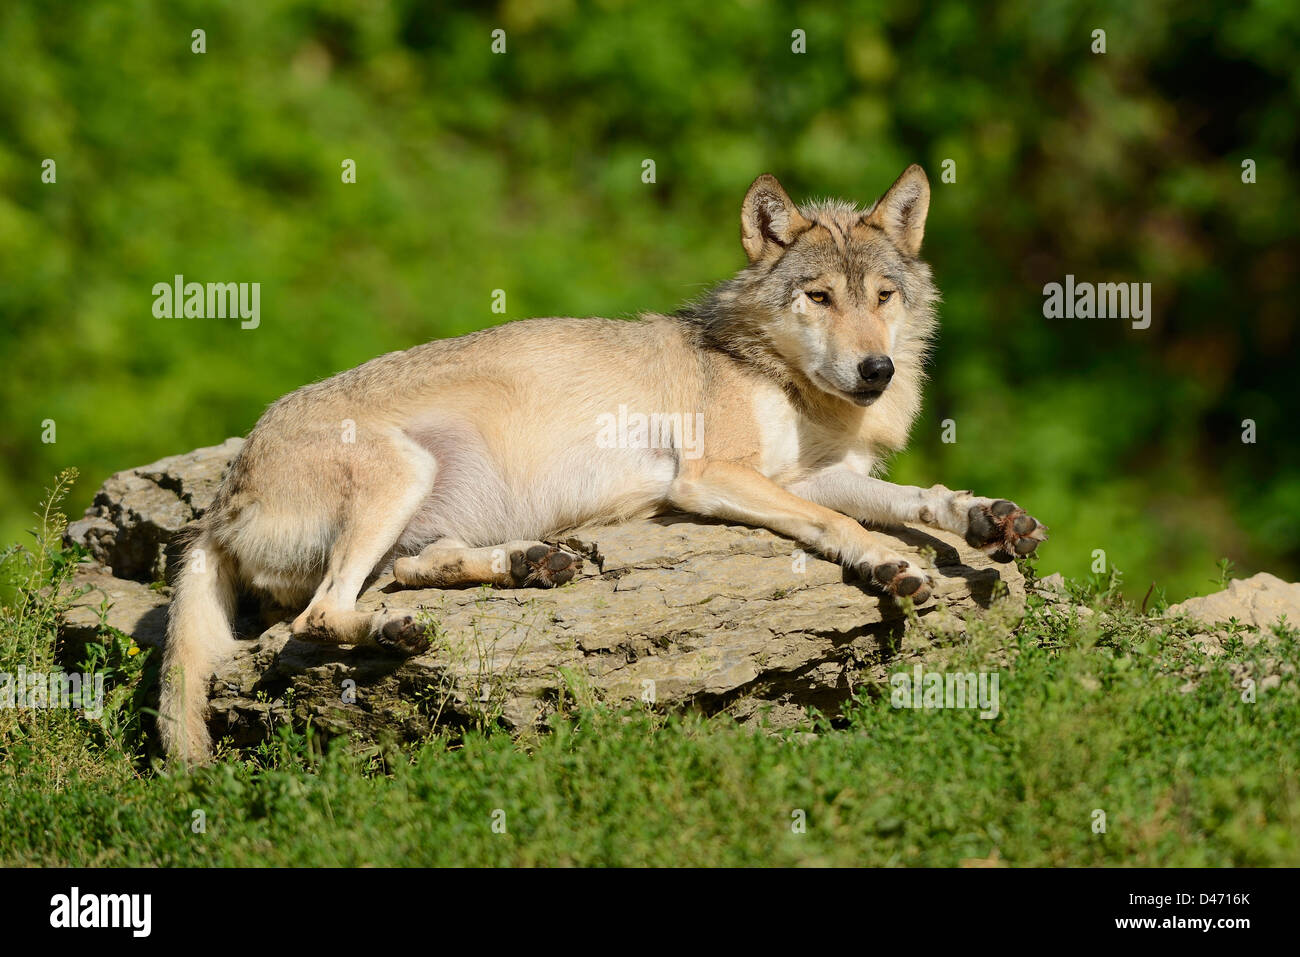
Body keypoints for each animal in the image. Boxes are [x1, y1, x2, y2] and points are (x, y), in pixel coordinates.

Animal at [160, 165, 1047, 762]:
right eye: (819, 297)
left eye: (883, 296)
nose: (877, 371)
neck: (782, 377)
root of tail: (214, 511)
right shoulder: (717, 477)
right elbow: (838, 522)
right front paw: (895, 563)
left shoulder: (810, 472)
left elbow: (917, 496)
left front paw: (986, 517)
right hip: (397, 474)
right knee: (319, 615)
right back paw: (400, 627)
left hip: (417, 513)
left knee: (402, 573)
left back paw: (527, 564)